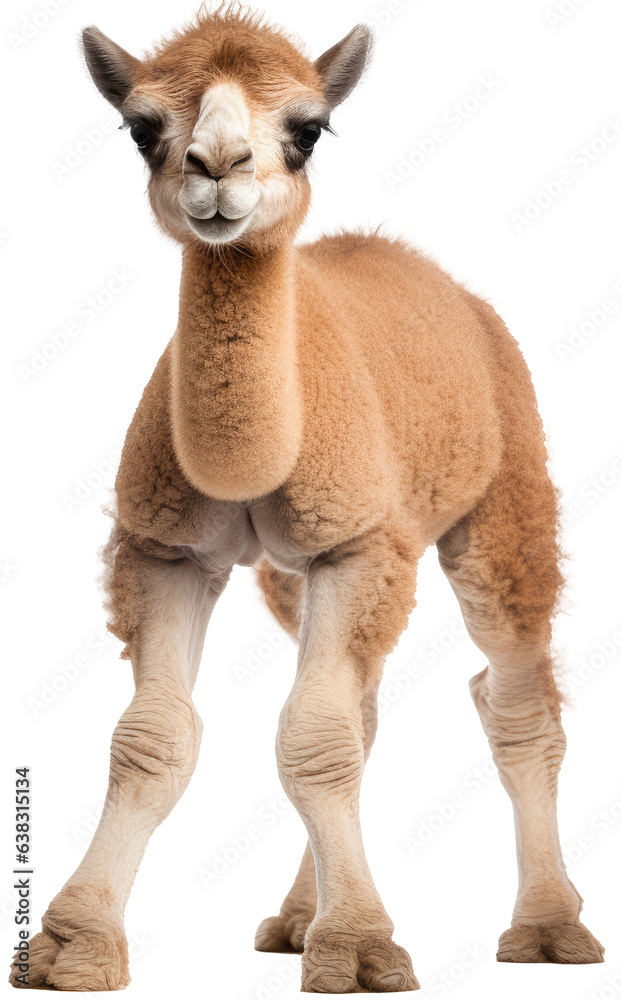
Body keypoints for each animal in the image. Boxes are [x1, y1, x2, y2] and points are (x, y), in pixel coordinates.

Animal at [11, 6, 604, 993]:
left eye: (308, 127)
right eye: (141, 126)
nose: (218, 165)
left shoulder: (359, 544)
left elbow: (312, 740)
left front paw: (359, 950)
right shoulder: (164, 549)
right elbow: (155, 738)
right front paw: (71, 945)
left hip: (504, 498)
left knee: (515, 696)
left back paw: (550, 931)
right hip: (290, 575)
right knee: (363, 710)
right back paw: (294, 918)